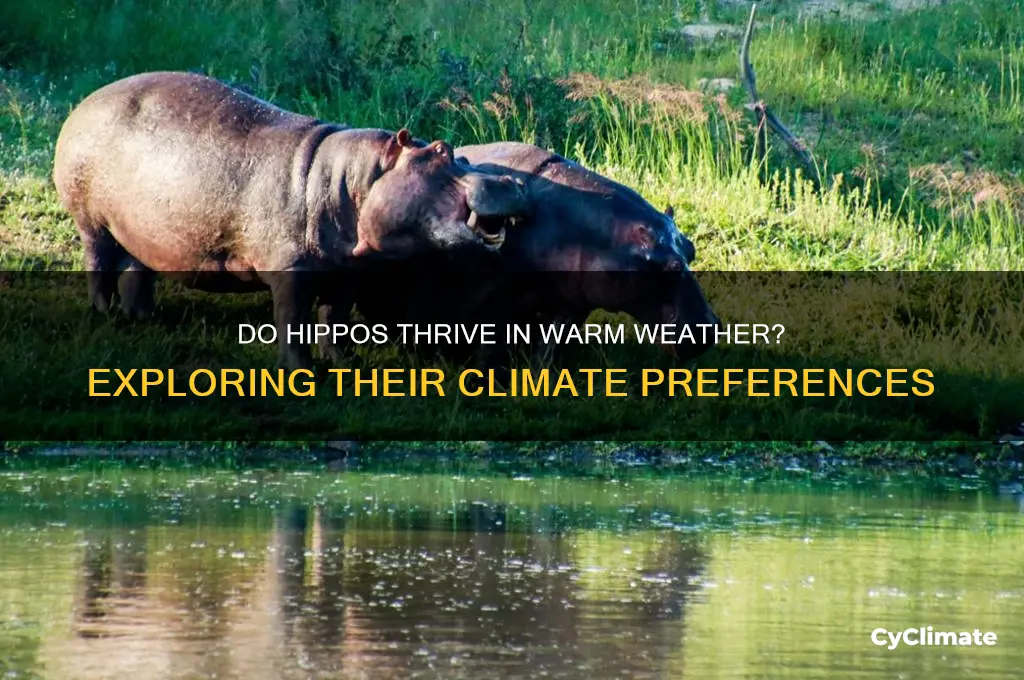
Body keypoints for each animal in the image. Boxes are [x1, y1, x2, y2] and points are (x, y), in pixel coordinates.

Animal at [52, 71, 529, 369]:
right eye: (442, 151)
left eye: (460, 152)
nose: (509, 178)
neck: (353, 178)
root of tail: (86, 101)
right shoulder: (291, 270)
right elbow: (292, 319)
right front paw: (298, 369)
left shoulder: (346, 272)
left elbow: (334, 319)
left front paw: (342, 362)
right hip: (91, 221)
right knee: (99, 262)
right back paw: (104, 313)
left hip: (140, 231)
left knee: (137, 270)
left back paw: (141, 318)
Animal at [345, 141, 720, 365]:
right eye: (670, 266)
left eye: (691, 250)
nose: (710, 328)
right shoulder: (494, 298)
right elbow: (489, 340)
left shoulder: (571, 301)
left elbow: (551, 343)